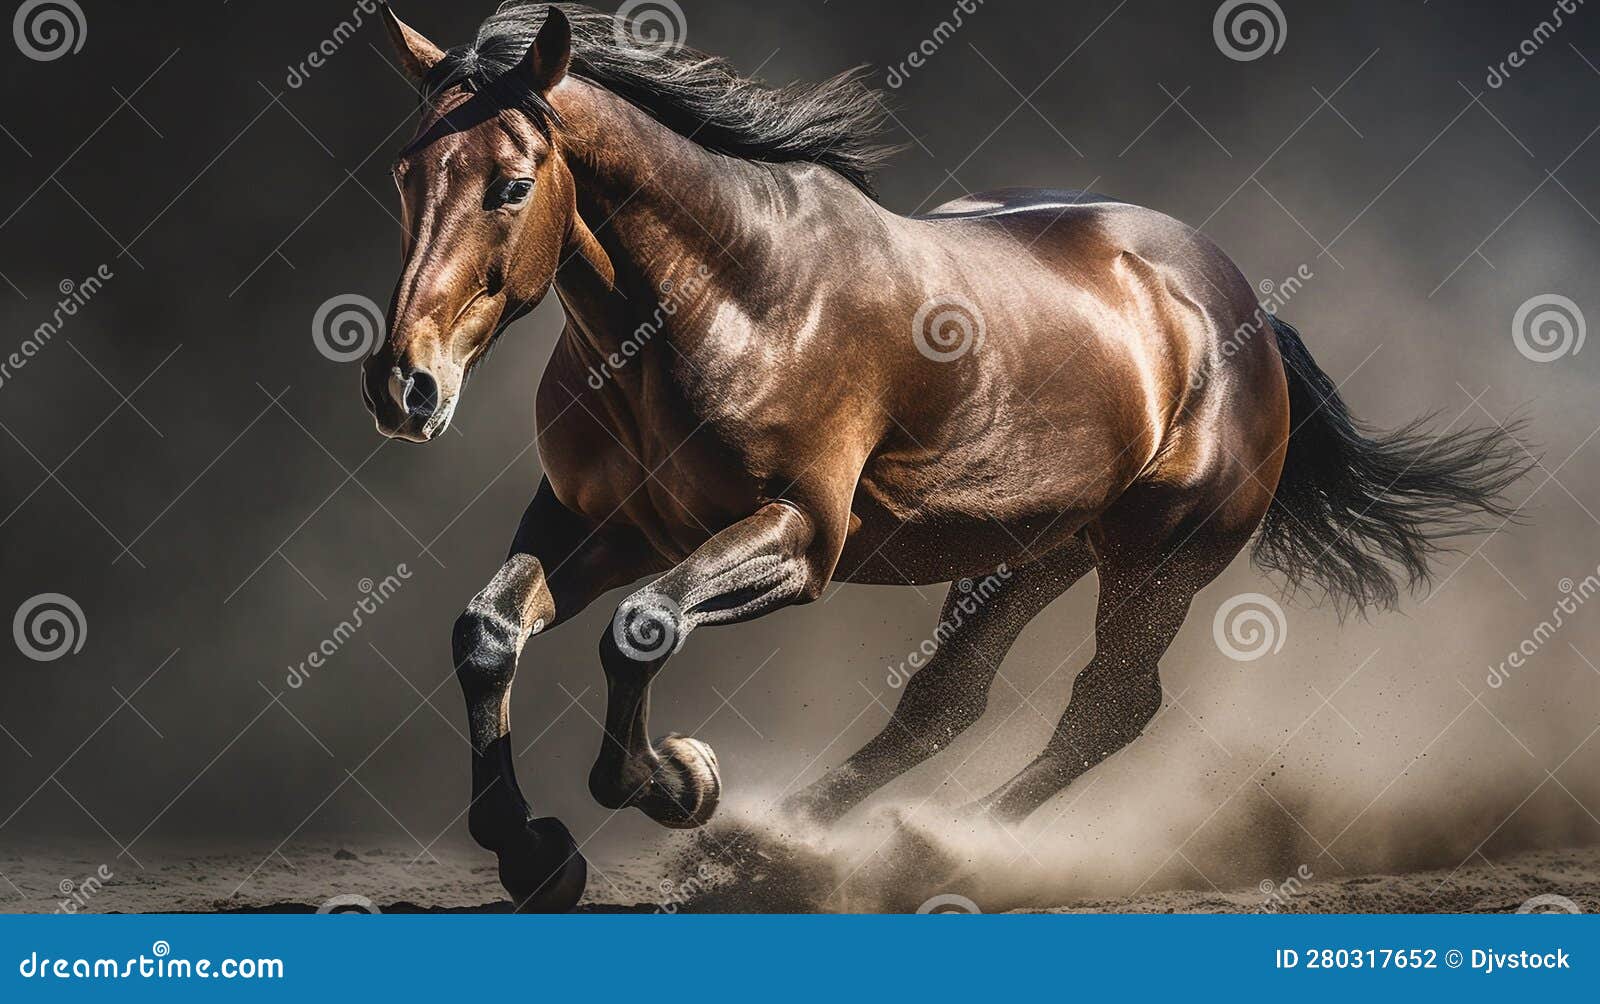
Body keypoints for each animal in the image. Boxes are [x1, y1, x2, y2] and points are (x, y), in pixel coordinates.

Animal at [362, 3, 1528, 911]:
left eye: (512, 184)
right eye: (406, 171)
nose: (403, 385)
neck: (716, 299)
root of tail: (1241, 307)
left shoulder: (800, 539)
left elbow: (642, 627)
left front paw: (682, 781)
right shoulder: (596, 522)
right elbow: (488, 631)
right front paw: (536, 854)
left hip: (1159, 559)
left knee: (1108, 704)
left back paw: (932, 853)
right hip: (1032, 551)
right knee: (948, 698)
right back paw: (783, 846)